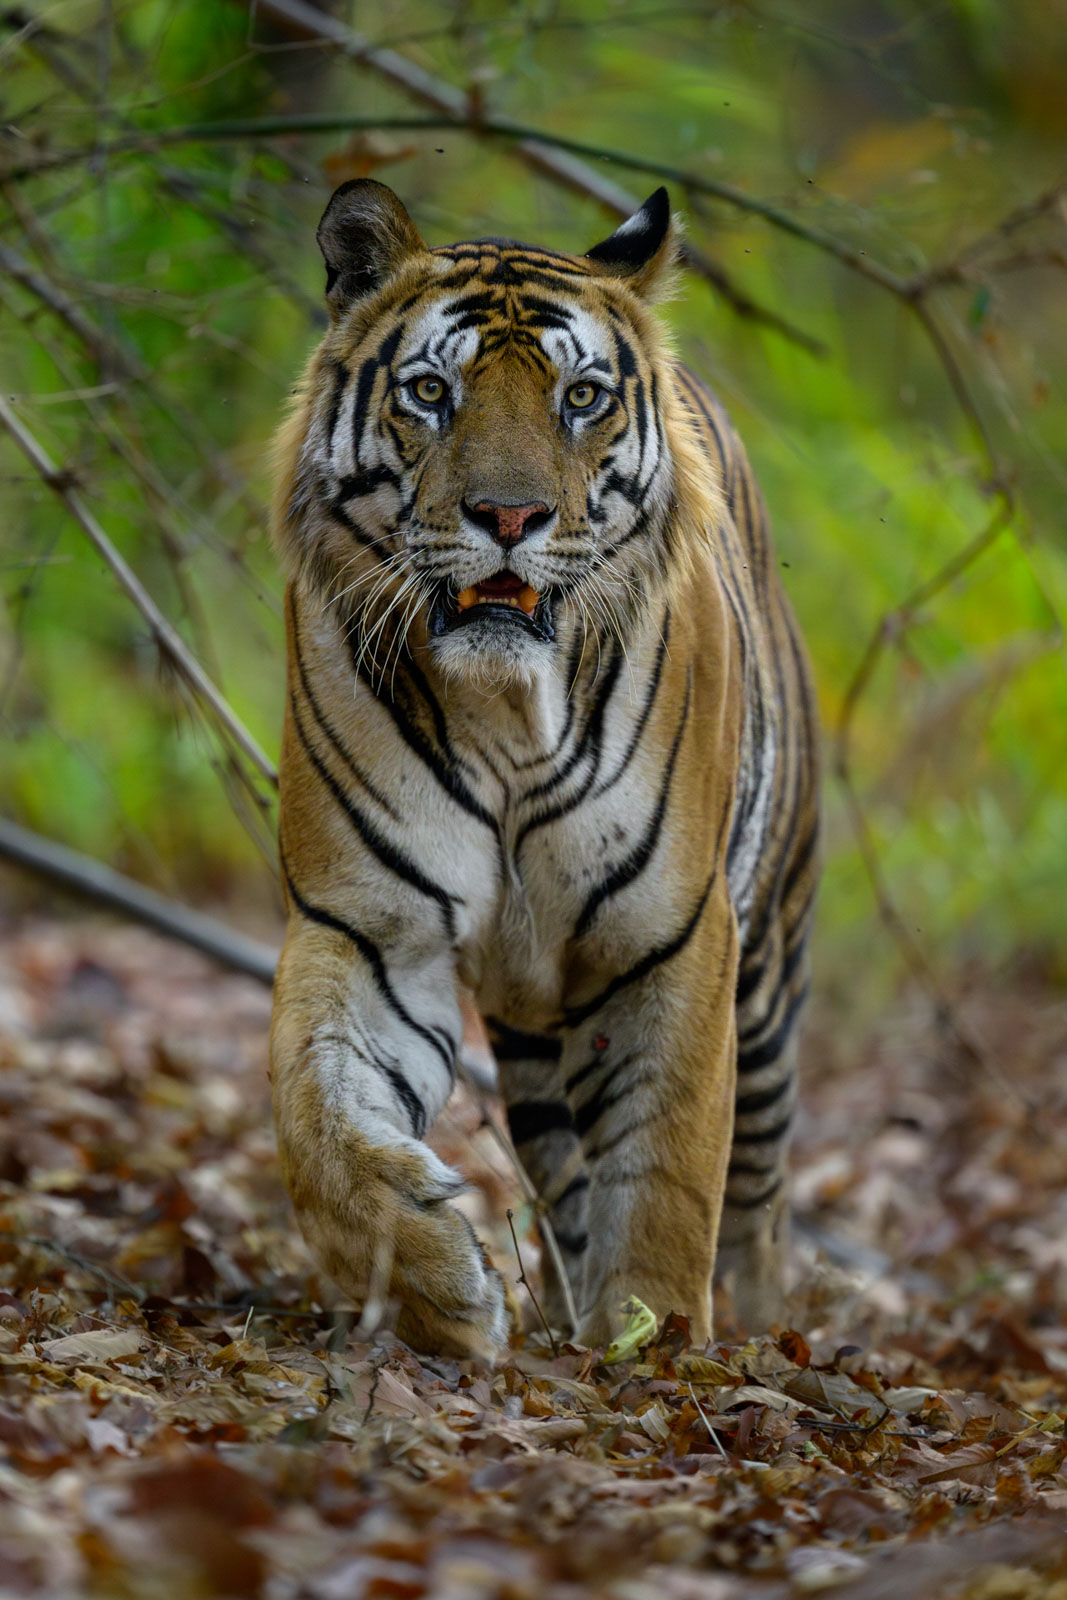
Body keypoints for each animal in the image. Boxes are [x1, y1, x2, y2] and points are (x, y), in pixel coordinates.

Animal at [270, 178, 819, 1359]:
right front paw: (439, 1283)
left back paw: (757, 1322)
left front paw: (658, 1344)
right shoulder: (369, 926)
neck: (506, 716)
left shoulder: (671, 937)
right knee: (564, 1168)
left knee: (754, 1186)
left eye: (581, 398)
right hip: (533, 1027)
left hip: (768, 966)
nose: (510, 516)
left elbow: (667, 1173)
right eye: (431, 392)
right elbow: (316, 1115)